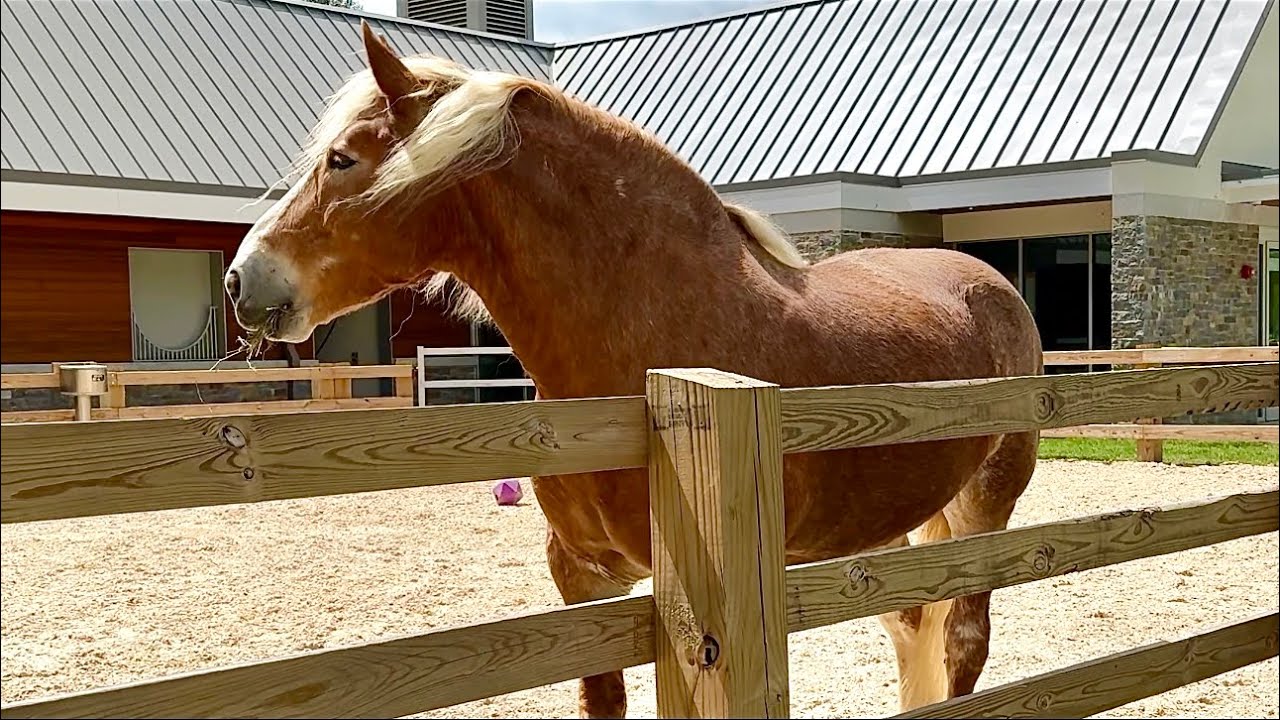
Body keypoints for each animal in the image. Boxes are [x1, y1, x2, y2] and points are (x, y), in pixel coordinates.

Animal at [224, 21, 1042, 718]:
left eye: (343, 159)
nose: (242, 280)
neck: (651, 339)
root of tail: (986, 281)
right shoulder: (586, 577)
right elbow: (603, 698)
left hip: (985, 505)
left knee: (963, 643)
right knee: (913, 623)